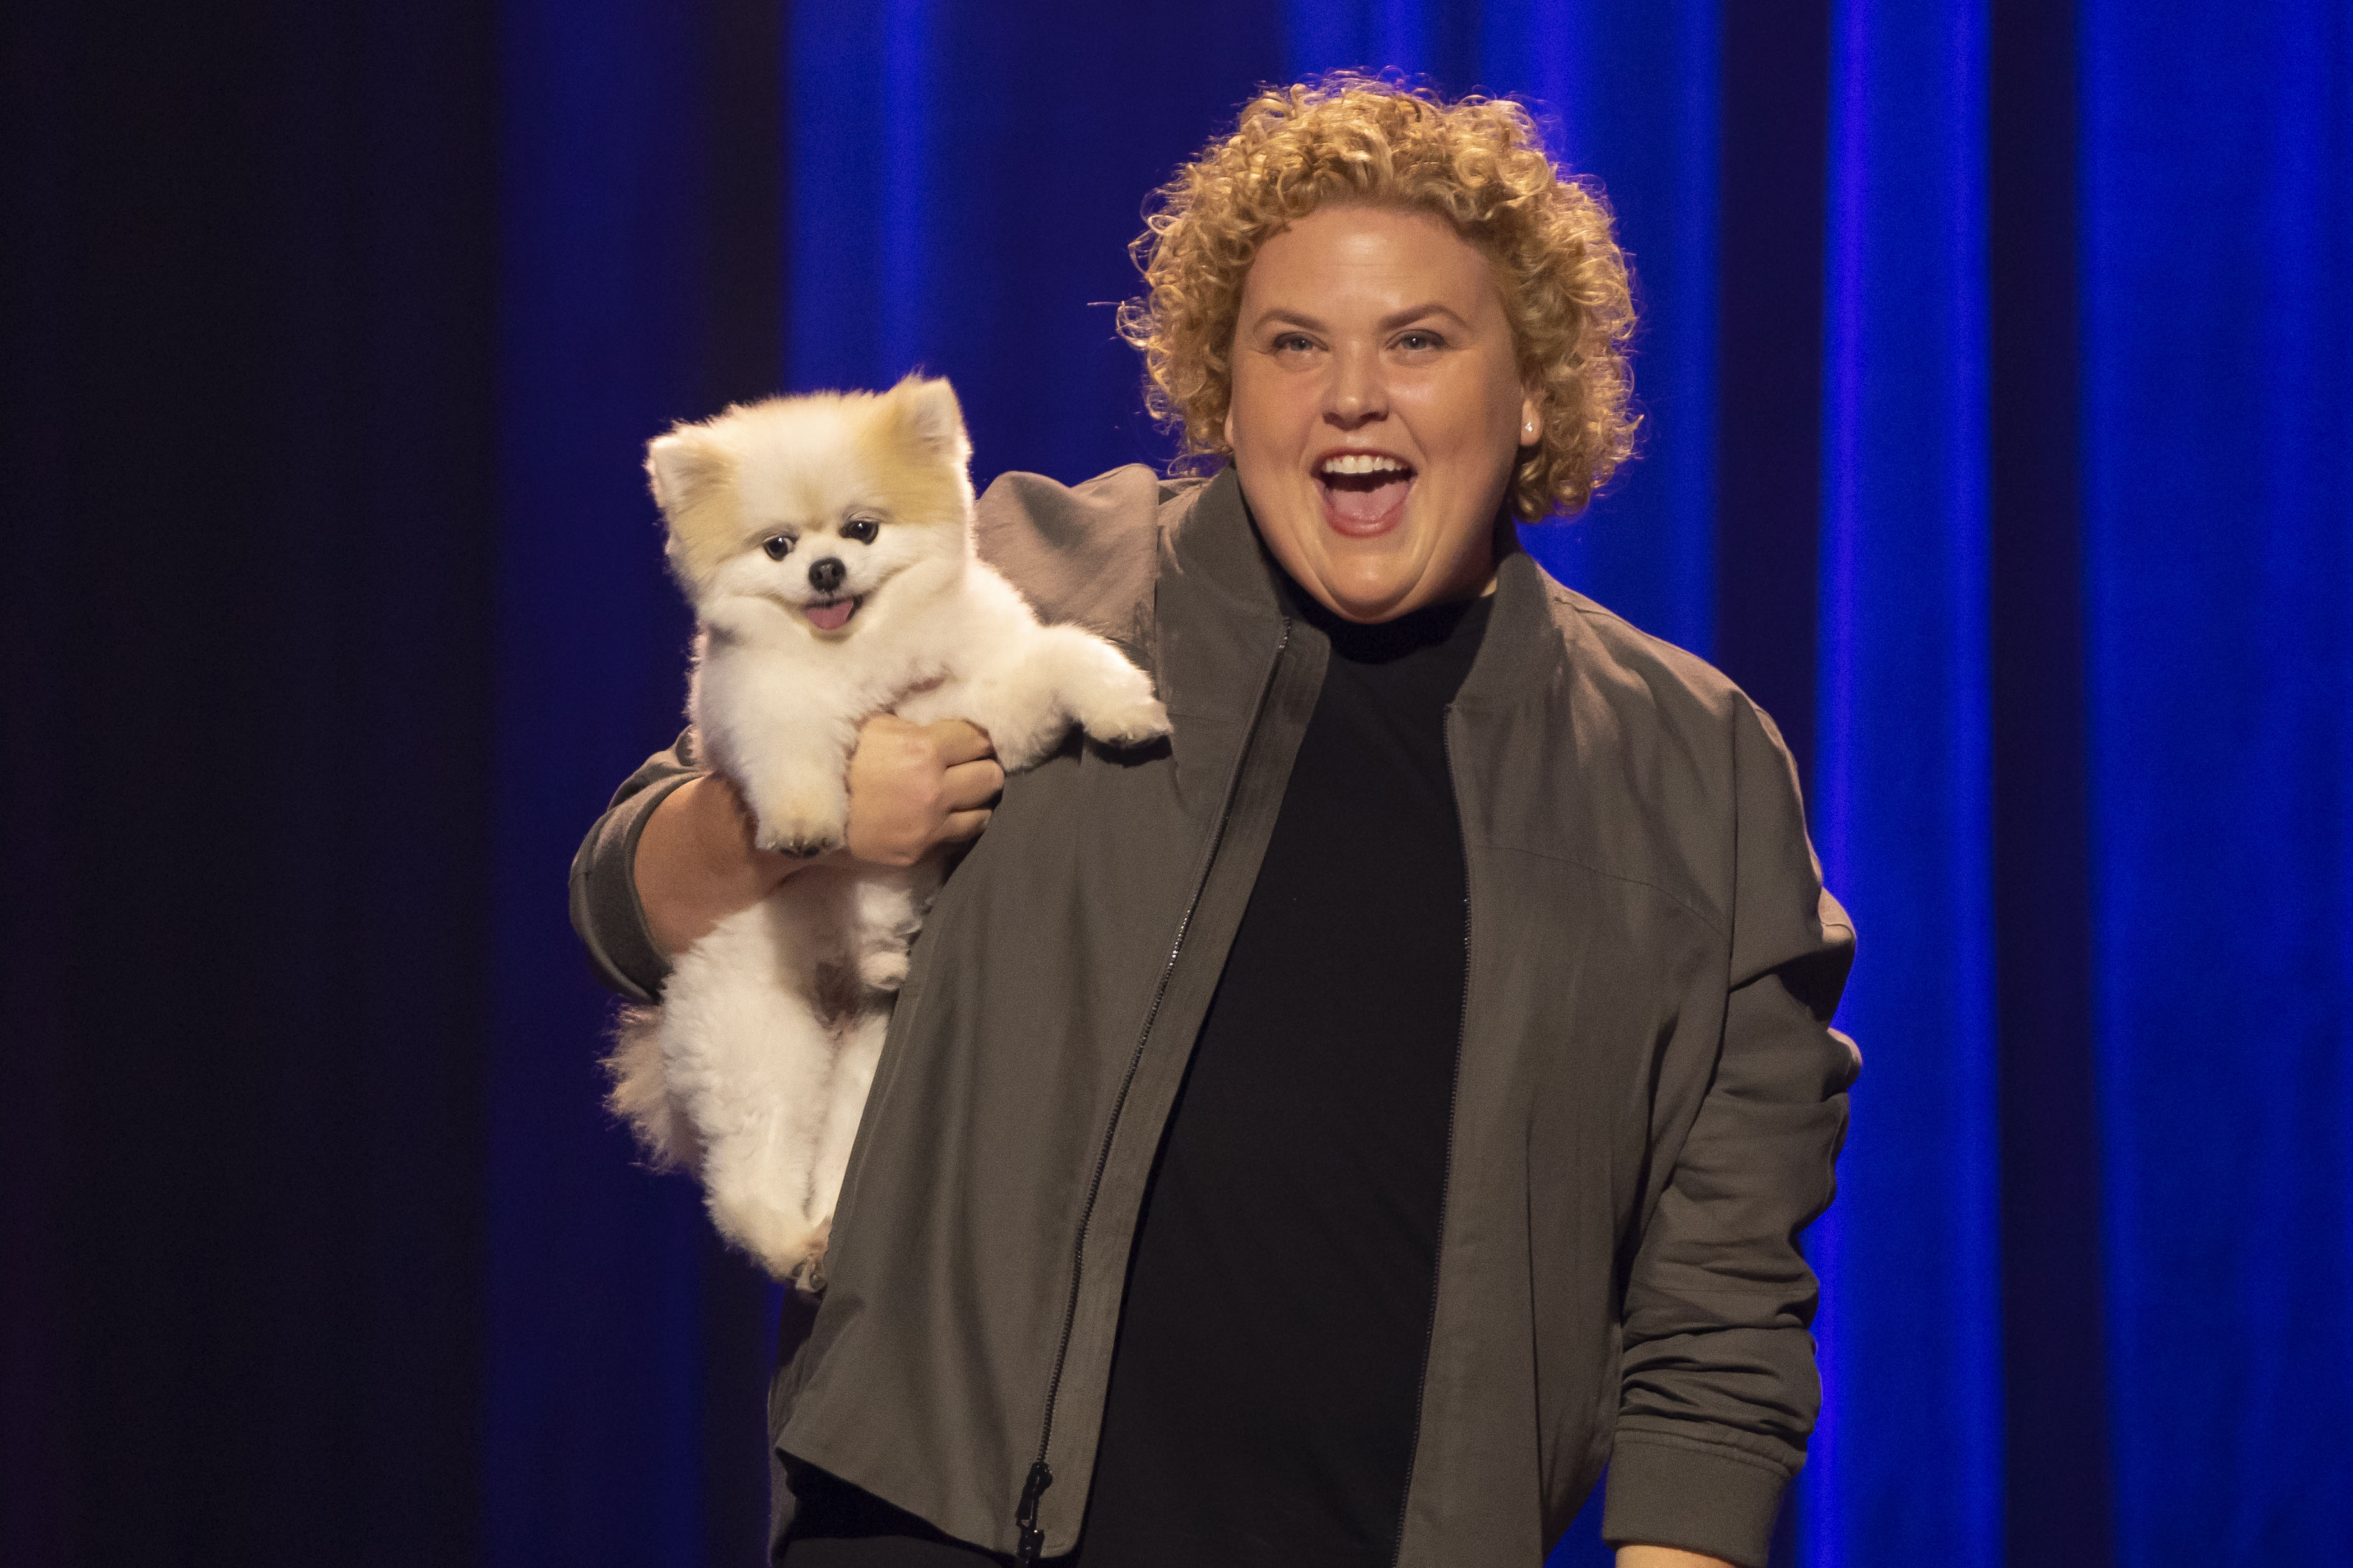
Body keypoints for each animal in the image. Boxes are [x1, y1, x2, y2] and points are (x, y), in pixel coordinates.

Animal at [602, 376, 1162, 1288]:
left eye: (862, 529)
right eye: (778, 547)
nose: (825, 568)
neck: (863, 656)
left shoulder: (985, 714)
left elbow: (1066, 656)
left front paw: (1122, 707)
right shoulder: (753, 703)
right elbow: (789, 746)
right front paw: (805, 824)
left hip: (865, 1066)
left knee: (838, 1161)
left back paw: (828, 1228)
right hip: (760, 1042)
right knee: (748, 1179)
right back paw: (790, 1241)